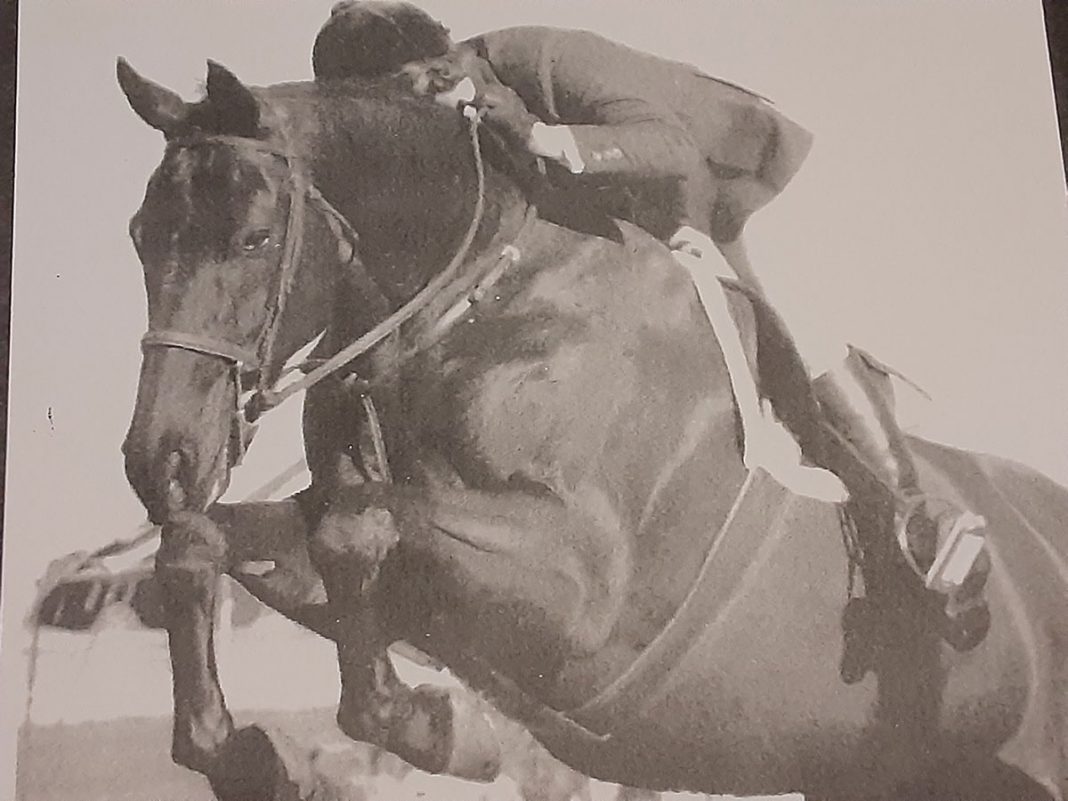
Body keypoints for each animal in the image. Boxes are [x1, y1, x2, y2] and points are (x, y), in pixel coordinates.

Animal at [115, 57, 1068, 801]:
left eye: (253, 238)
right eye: (139, 235)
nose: (160, 459)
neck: (469, 299)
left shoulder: (583, 591)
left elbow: (356, 528)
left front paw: (439, 728)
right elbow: (208, 543)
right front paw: (243, 750)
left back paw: (935, 545)